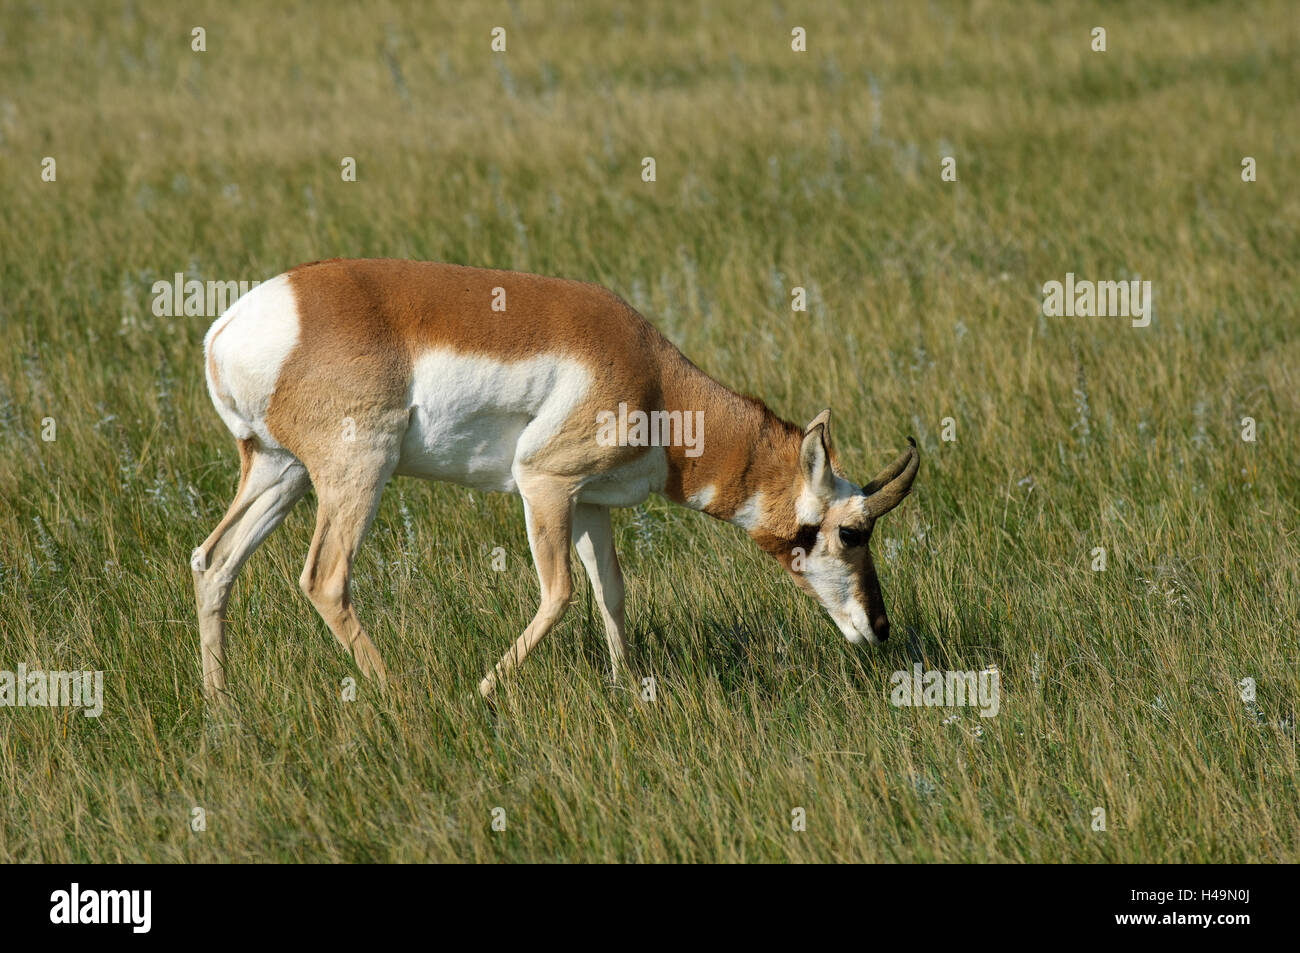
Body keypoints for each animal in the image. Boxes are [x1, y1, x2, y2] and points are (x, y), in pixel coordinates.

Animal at [194, 259, 920, 700]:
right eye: (852, 530)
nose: (880, 628)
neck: (656, 379)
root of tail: (232, 326)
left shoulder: (590, 503)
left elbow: (611, 592)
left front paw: (628, 691)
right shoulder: (542, 483)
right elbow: (560, 593)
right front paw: (481, 694)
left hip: (280, 473)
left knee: (213, 560)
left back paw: (222, 707)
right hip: (357, 473)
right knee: (324, 577)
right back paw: (403, 697)